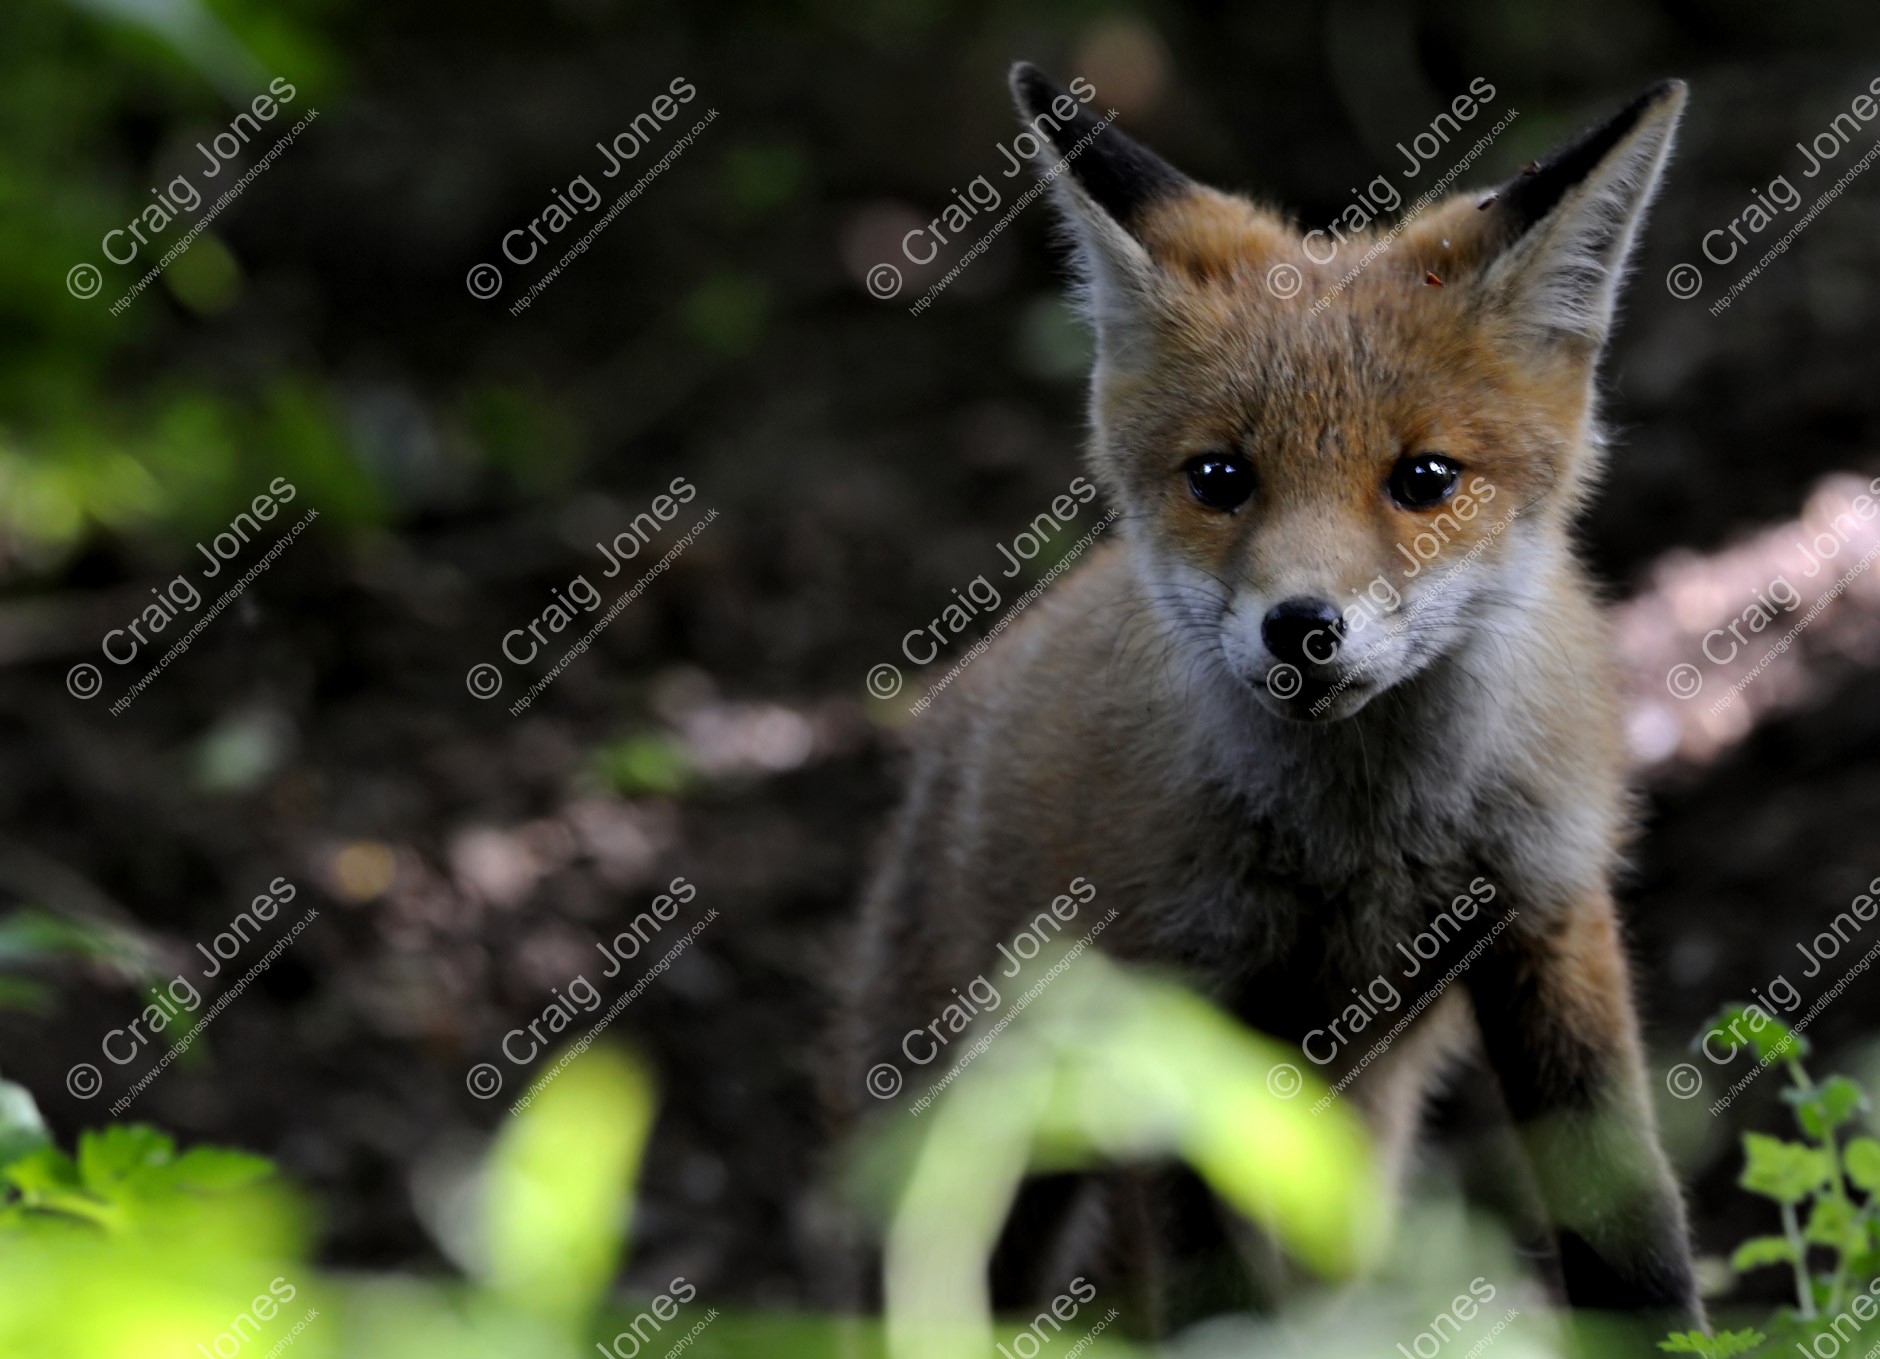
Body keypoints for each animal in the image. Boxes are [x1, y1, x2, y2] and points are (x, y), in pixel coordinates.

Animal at [836, 65, 1701, 1338]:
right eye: (1219, 478)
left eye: (1422, 479)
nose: (1301, 627)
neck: (1366, 845)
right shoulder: (1175, 1002)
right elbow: (1214, 1297)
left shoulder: (1548, 919)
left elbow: (1632, 1239)